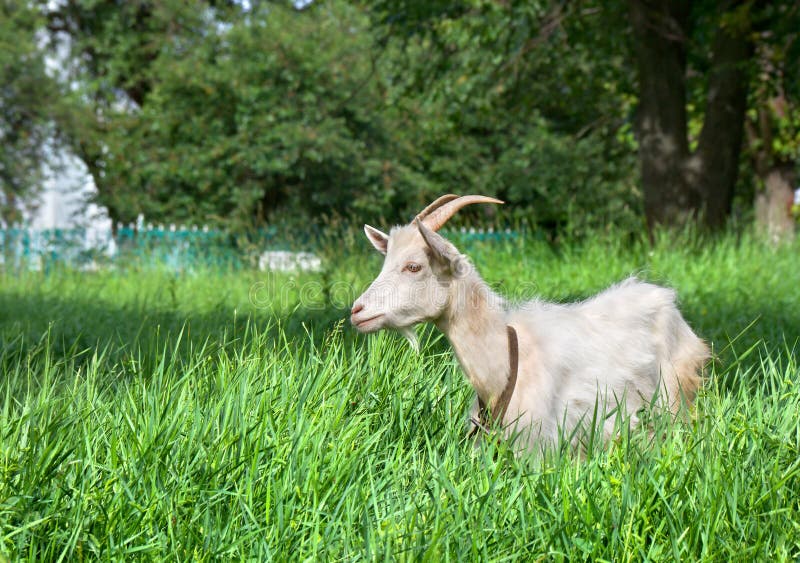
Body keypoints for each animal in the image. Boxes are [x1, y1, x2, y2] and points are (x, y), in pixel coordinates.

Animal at [350, 195, 709, 452]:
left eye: (414, 266)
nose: (357, 310)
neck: (506, 360)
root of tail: (664, 296)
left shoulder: (542, 444)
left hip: (675, 393)